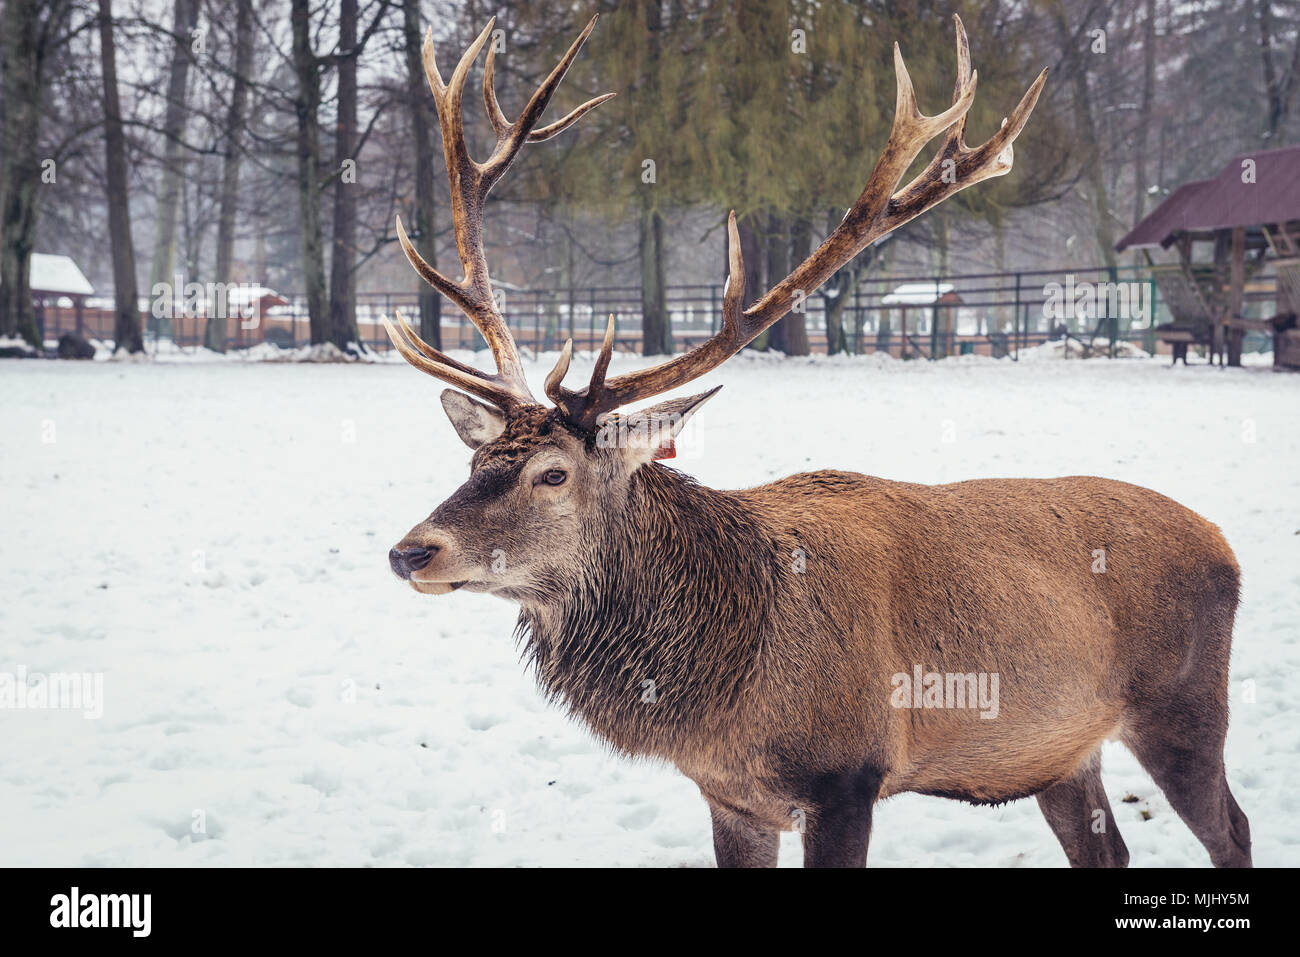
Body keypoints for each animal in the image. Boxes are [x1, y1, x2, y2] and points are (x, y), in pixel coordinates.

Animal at [379, 13, 1252, 868]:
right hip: (1058, 748)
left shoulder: (847, 777)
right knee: (1107, 848)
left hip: (1183, 706)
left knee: (1231, 827)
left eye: (554, 473)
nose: (411, 549)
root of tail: (1225, 545)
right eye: (475, 458)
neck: (725, 692)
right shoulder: (730, 795)